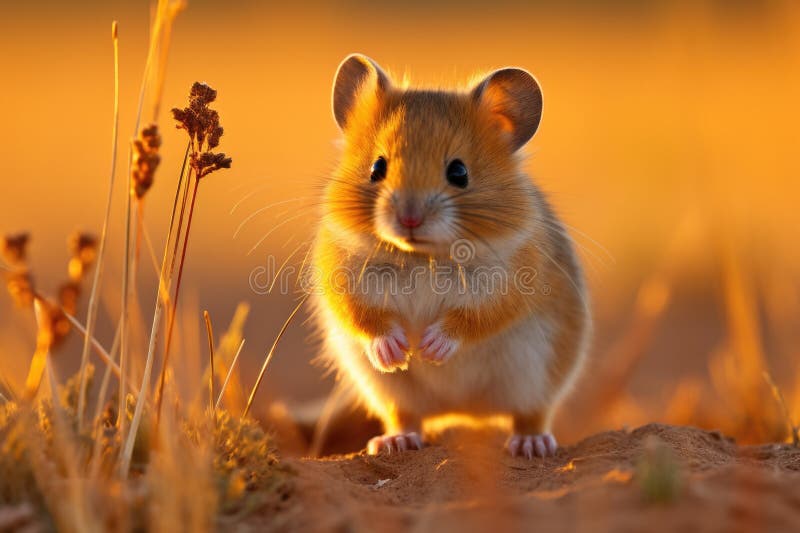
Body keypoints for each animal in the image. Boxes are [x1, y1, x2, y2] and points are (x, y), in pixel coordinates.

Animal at [310, 54, 591, 459]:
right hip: (388, 390)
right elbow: (365, 317)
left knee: (531, 415)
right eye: (377, 167)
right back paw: (396, 442)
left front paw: (431, 348)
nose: (409, 219)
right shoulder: (342, 278)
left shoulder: (507, 285)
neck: (423, 256)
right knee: (405, 417)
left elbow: (473, 318)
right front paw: (397, 350)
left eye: (459, 171)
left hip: (536, 378)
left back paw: (531, 444)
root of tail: (466, 412)